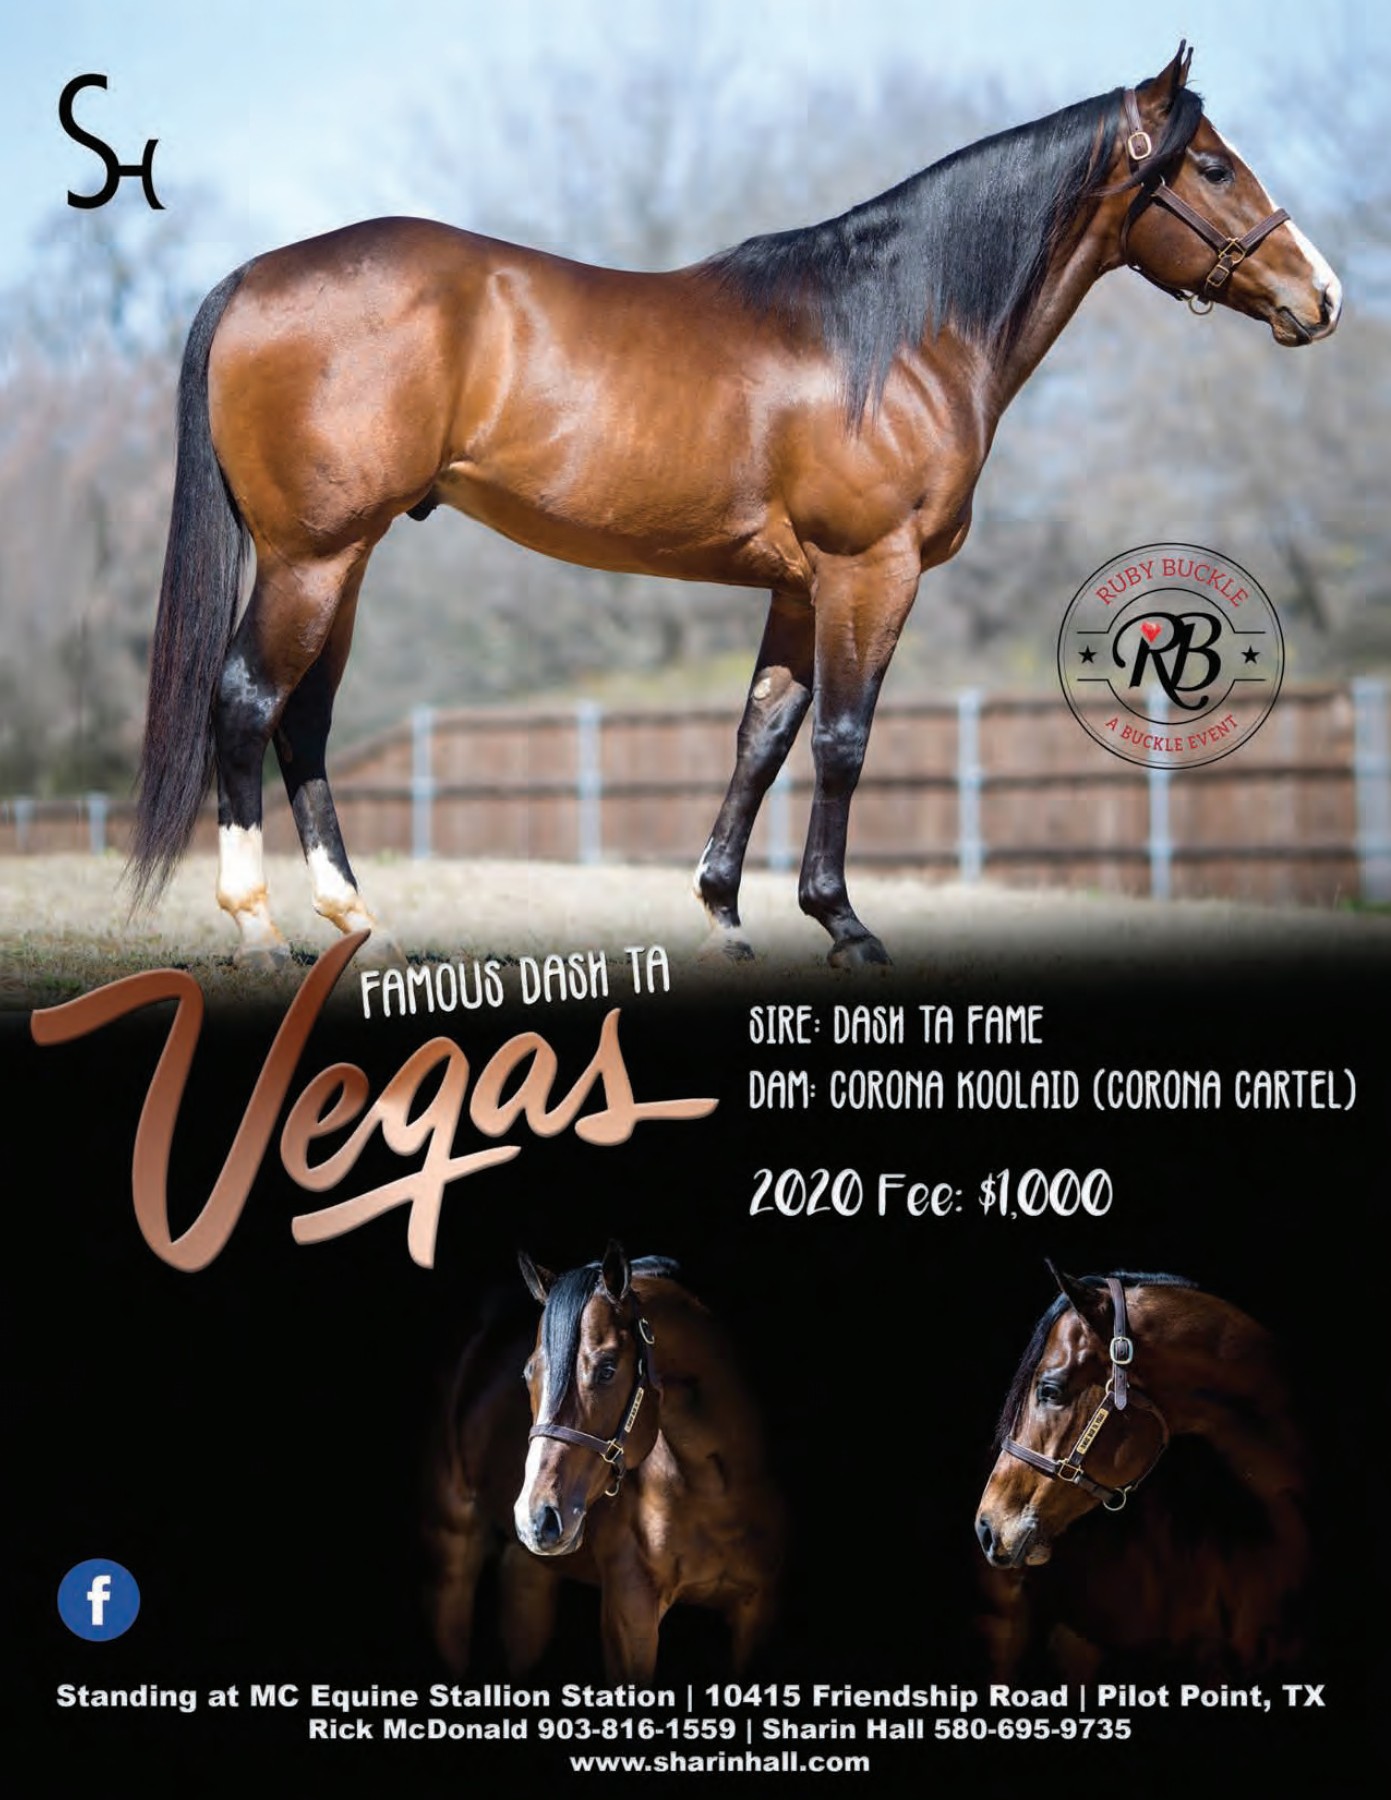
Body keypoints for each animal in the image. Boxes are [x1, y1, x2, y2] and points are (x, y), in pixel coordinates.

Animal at [128, 43, 1340, 967]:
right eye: (1214, 166)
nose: (1320, 296)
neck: (891, 332)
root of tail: (253, 277)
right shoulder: (869, 570)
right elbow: (843, 740)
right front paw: (843, 925)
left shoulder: (800, 589)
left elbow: (762, 735)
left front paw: (724, 912)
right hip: (312, 556)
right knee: (245, 701)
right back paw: (256, 929)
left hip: (344, 558)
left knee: (304, 721)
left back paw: (351, 917)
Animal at [425, 1244, 783, 1681]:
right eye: (528, 1373)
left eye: (607, 1369)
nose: (535, 1516)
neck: (716, 1487)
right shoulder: (630, 1612)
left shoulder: (760, 1612)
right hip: (450, 1550)